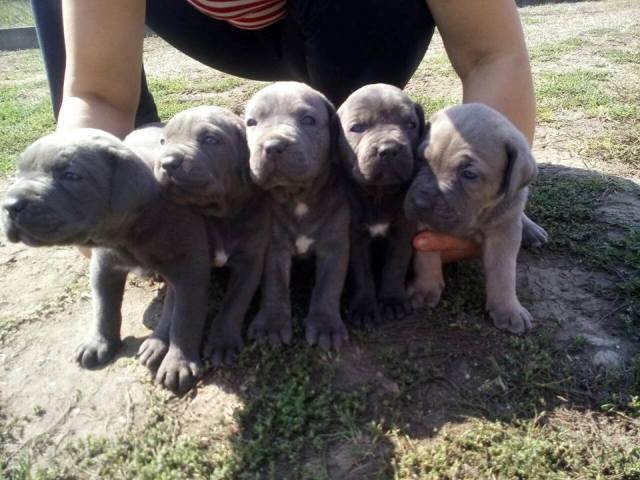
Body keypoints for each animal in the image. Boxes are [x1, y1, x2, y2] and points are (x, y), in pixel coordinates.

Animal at [0, 129, 210, 392]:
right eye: (19, 173)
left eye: (71, 176)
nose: (10, 205)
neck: (125, 237)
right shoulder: (103, 267)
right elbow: (104, 308)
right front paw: (99, 343)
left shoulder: (189, 270)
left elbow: (184, 319)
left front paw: (178, 364)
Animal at [148, 107, 270, 366]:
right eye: (163, 141)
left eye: (211, 140)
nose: (167, 163)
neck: (218, 215)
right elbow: (172, 305)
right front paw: (158, 341)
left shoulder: (251, 260)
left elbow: (234, 304)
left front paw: (222, 342)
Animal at [244, 82, 350, 350]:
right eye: (252, 122)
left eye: (308, 120)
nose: (272, 146)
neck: (297, 196)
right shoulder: (273, 247)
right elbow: (274, 284)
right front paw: (271, 325)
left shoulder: (335, 246)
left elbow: (328, 286)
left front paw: (325, 326)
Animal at [336, 84, 424, 328]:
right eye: (357, 127)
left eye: (410, 124)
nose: (389, 149)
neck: (379, 193)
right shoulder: (353, 234)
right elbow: (361, 273)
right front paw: (364, 308)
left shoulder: (403, 229)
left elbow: (395, 264)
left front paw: (393, 301)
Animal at [404, 103, 540, 334]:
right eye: (421, 159)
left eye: (469, 174)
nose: (420, 202)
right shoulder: (423, 223)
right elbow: (425, 256)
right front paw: (424, 288)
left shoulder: (504, 230)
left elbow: (503, 271)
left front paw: (508, 309)